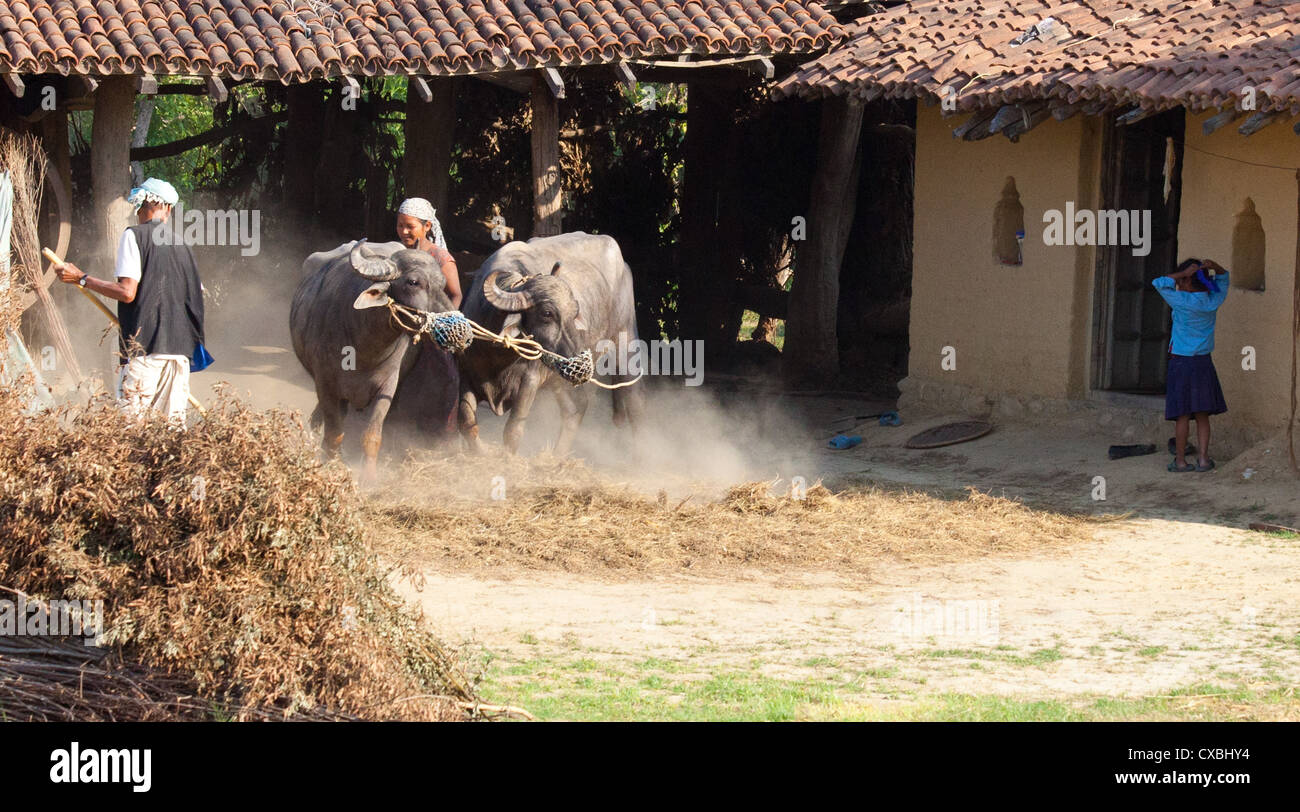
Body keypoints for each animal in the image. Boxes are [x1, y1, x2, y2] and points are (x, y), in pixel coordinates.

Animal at [290, 239, 458, 480]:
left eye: (442, 283)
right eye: (413, 282)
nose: (455, 325)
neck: (363, 349)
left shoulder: (387, 386)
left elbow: (372, 436)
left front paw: (369, 477)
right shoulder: (326, 385)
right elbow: (334, 434)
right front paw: (331, 466)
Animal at [458, 232, 644, 455]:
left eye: (574, 311)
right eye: (547, 313)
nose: (581, 362)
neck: (498, 356)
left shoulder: (530, 380)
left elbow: (513, 430)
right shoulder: (467, 374)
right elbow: (467, 421)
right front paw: (481, 452)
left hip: (625, 340)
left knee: (634, 398)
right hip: (560, 378)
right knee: (576, 407)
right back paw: (558, 454)